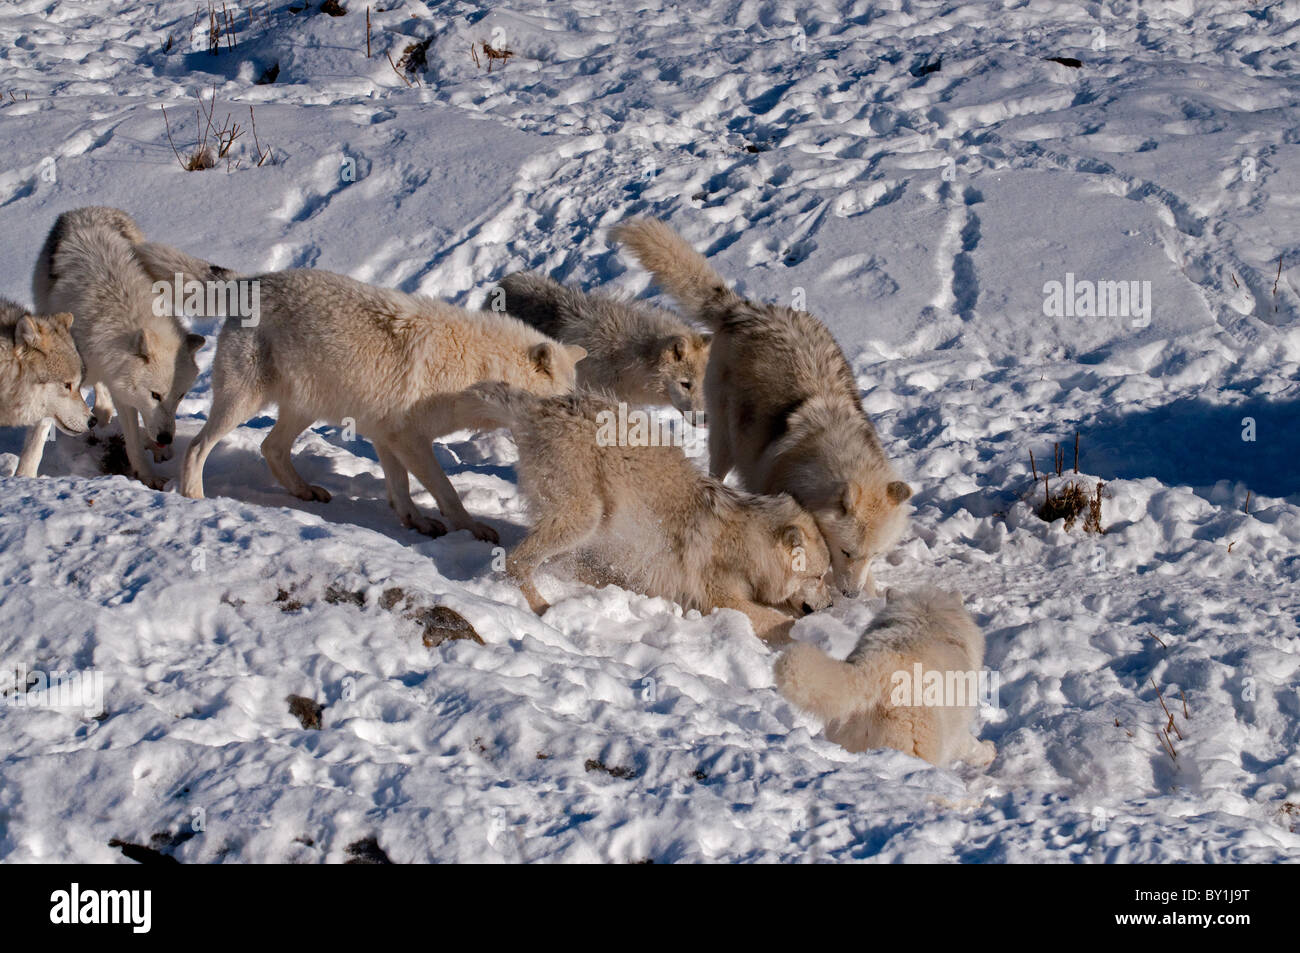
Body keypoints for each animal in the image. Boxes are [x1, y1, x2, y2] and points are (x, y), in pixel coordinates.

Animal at [29, 207, 205, 488]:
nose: (166, 437)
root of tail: (88, 209)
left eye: (181, 396)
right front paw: (23, 475)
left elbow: (132, 441)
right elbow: (38, 432)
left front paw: (149, 476)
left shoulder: (122, 388)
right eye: (155, 395)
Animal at [130, 241, 586, 542]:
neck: (476, 368)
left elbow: (401, 491)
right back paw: (195, 496)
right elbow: (447, 492)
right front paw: (471, 529)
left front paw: (416, 523)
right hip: (244, 402)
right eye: (561, 400)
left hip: (305, 407)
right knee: (198, 448)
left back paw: (304, 491)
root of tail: (255, 280)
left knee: (270, 448)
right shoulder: (410, 439)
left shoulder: (387, 437)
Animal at [460, 383, 833, 644]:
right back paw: (543, 609)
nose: (831, 607)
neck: (745, 543)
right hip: (584, 518)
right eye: (818, 577)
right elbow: (780, 622)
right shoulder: (720, 599)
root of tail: (540, 405)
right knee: (515, 563)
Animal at [613, 219, 912, 597]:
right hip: (724, 436)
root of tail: (745, 309)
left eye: (874, 555)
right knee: (716, 470)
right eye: (846, 551)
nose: (850, 595)